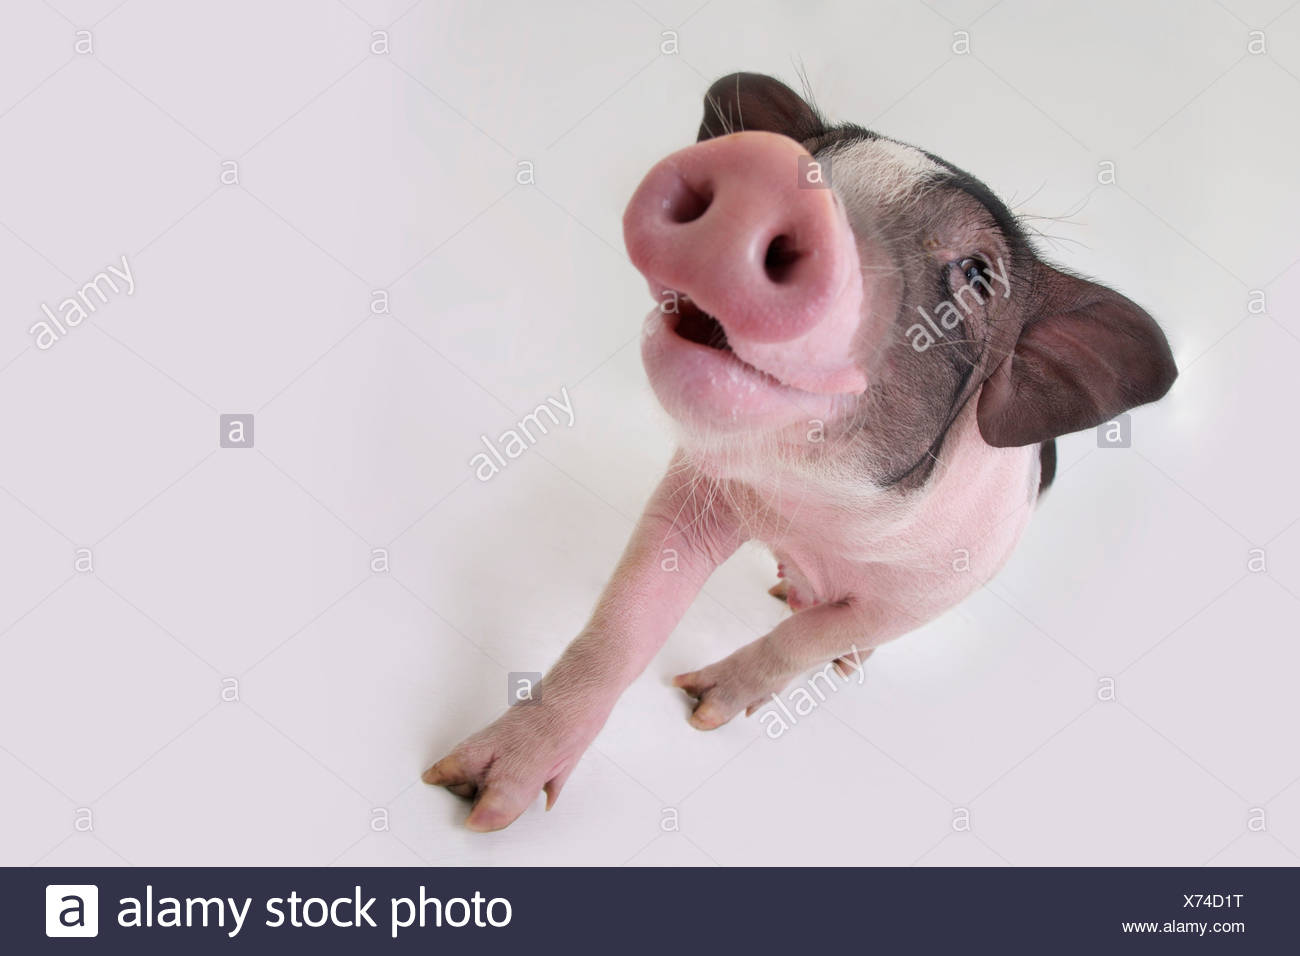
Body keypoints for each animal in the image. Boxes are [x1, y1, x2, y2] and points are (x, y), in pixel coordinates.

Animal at [424, 73, 1177, 831]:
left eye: (976, 274)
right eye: (810, 158)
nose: (762, 171)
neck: (818, 511)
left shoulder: (934, 592)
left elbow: (809, 640)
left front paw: (699, 707)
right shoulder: (693, 494)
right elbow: (622, 622)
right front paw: (470, 799)